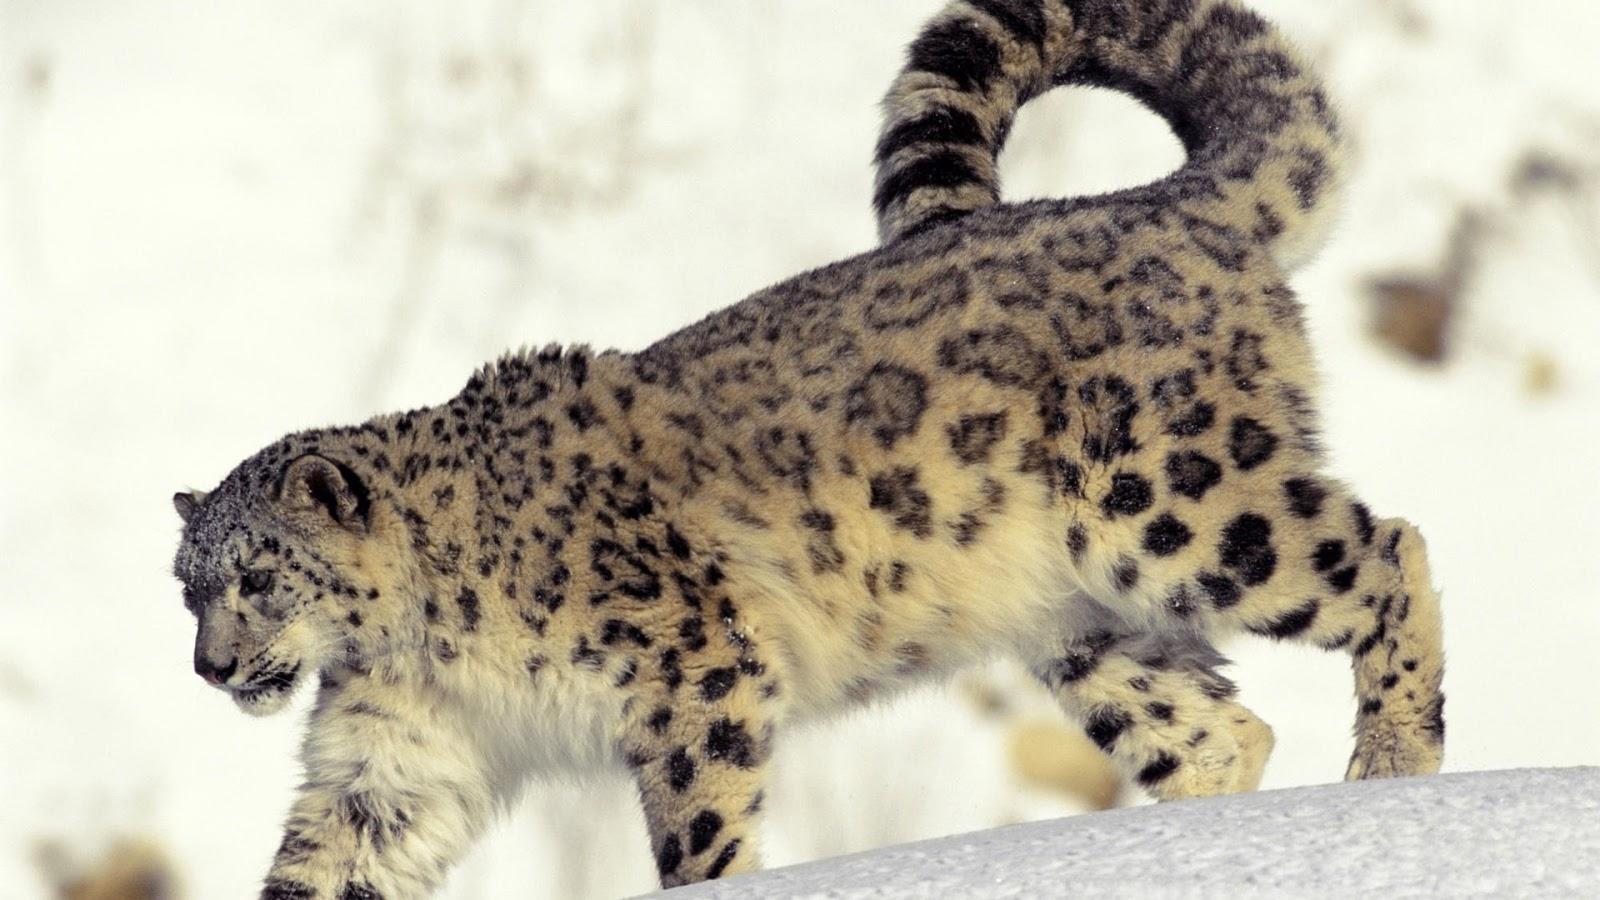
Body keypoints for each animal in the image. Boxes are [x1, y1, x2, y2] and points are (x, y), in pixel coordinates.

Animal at [170, 1, 1446, 896]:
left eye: (258, 576)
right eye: (185, 589)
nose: (211, 668)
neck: (420, 643)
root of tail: (1170, 203)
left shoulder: (688, 670)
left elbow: (697, 824)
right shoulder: (395, 755)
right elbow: (329, 859)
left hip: (1176, 501)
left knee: (1387, 550)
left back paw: (1390, 761)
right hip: (1082, 621)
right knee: (1218, 728)